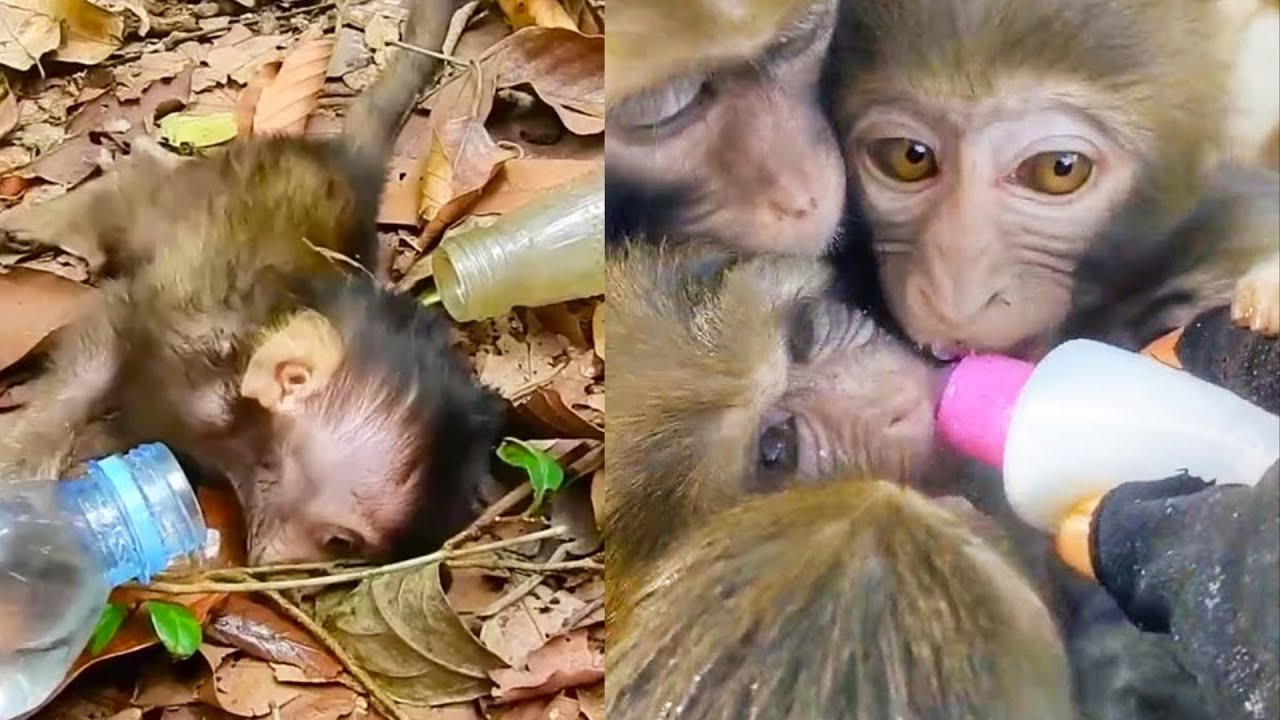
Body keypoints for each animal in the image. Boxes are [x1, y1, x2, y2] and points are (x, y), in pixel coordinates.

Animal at [0, 0, 508, 565]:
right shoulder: (191, 330)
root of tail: (348, 166)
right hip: (226, 176)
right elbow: (111, 332)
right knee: (132, 203)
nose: (281, 564)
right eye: (338, 539)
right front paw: (30, 453)